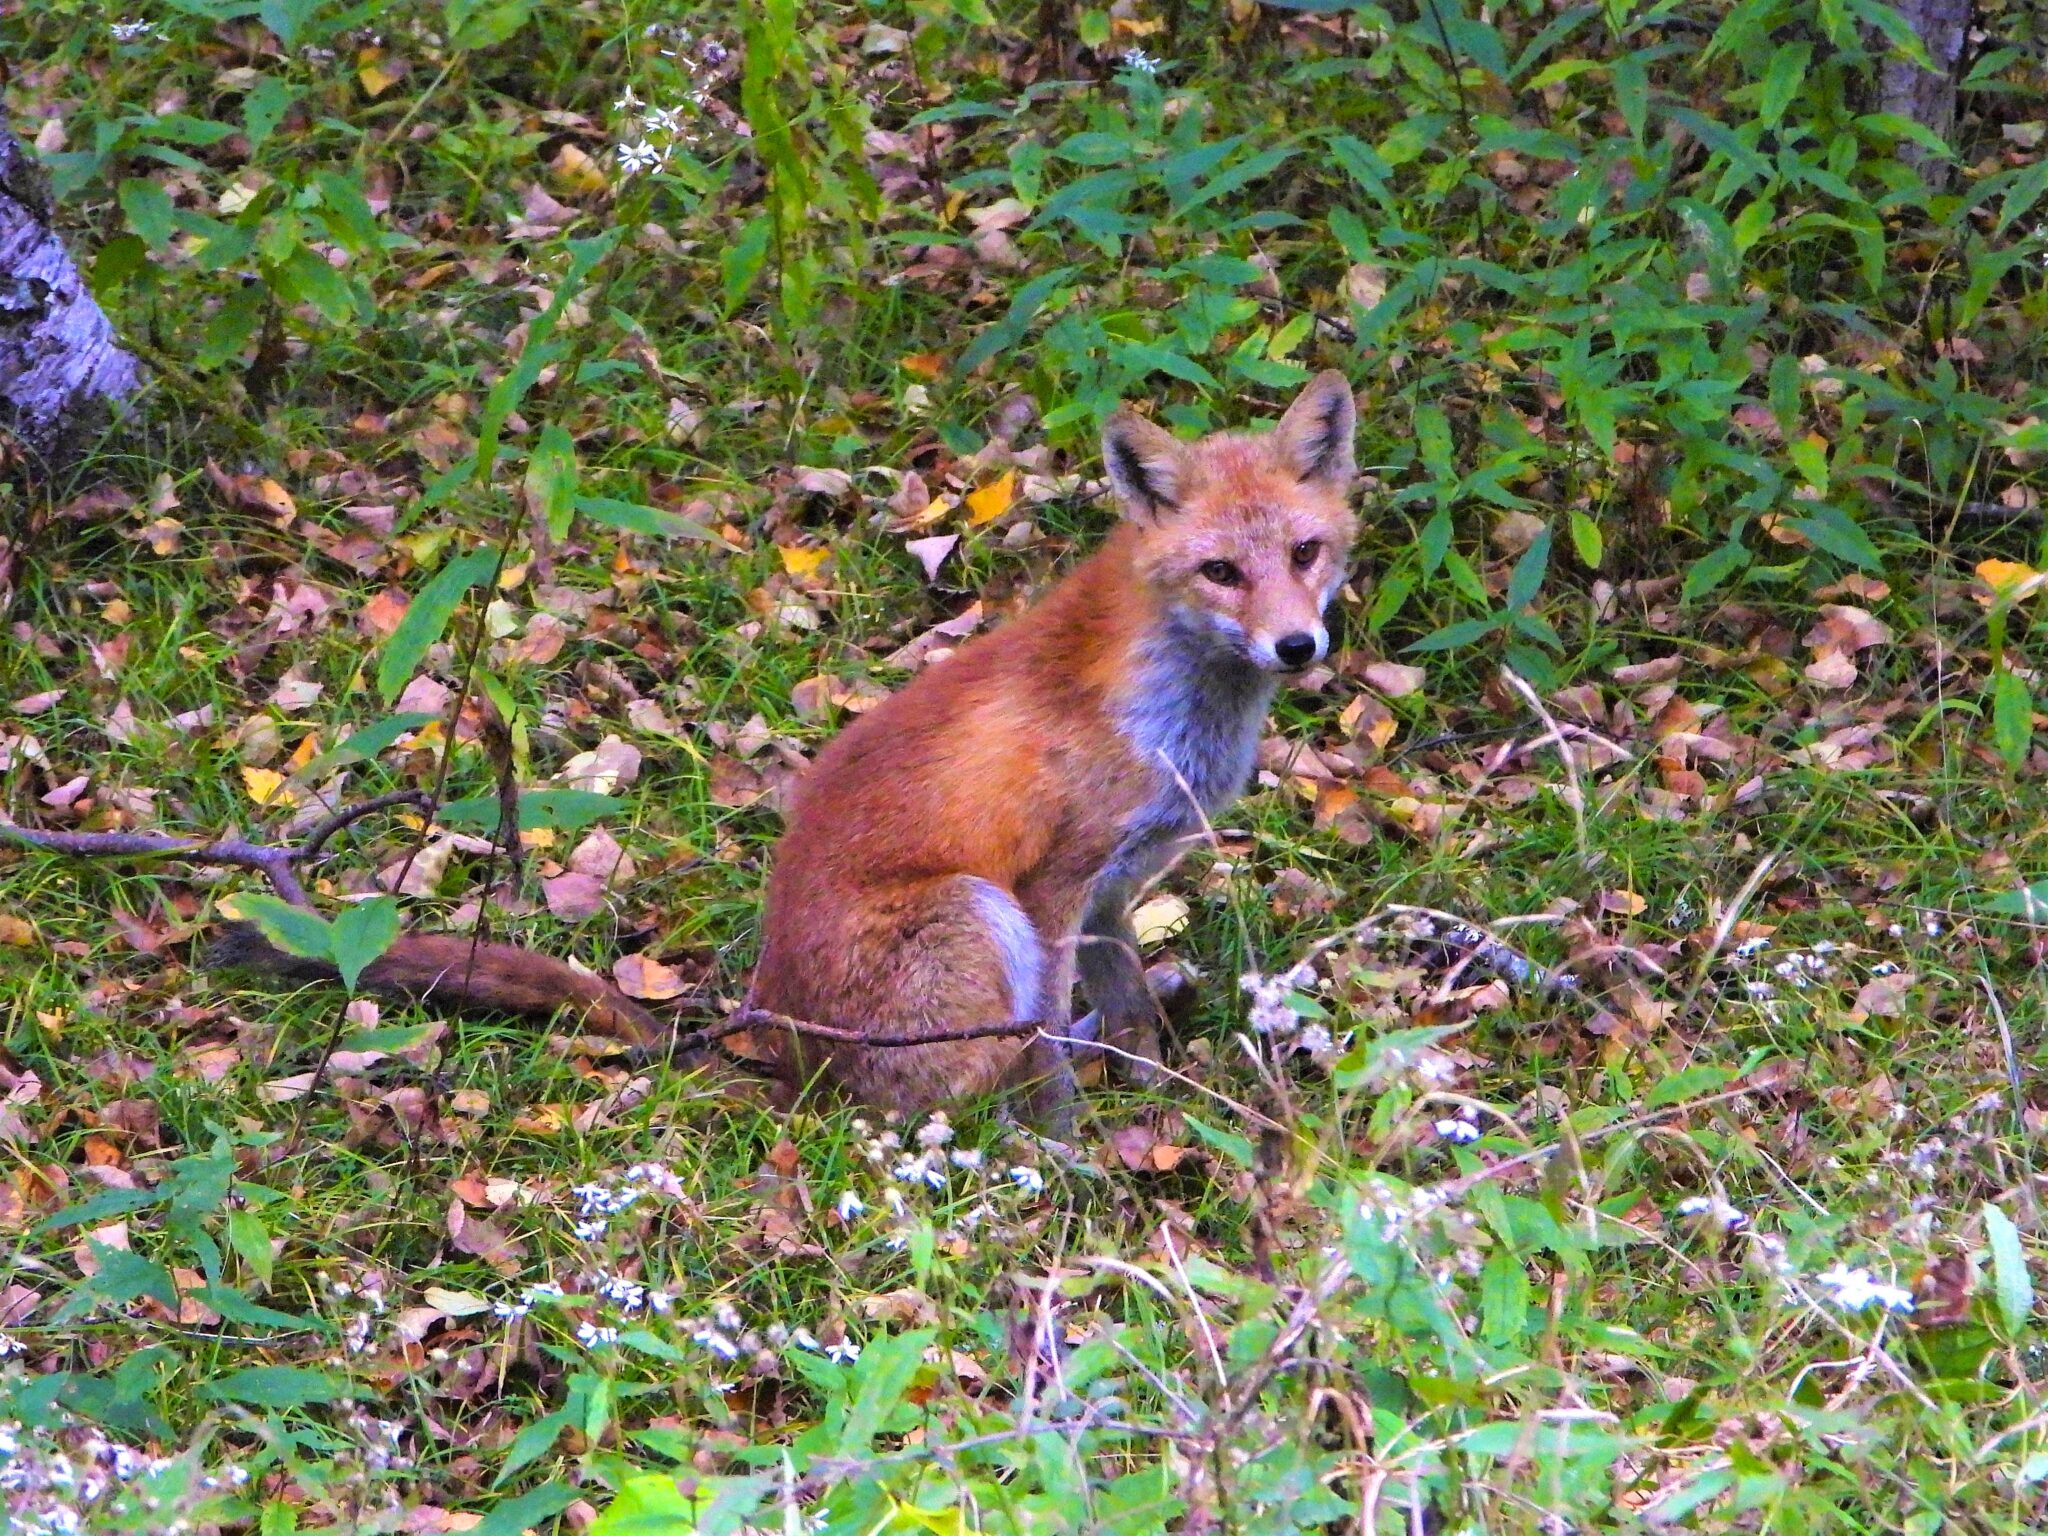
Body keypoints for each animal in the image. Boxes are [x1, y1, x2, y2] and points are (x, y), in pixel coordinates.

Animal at [211, 371, 1359, 1127]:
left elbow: (1132, 1023)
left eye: (1306, 553)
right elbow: (1049, 1058)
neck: (1172, 710)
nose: (1297, 646)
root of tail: (788, 1061)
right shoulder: (1048, 885)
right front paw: (1075, 1154)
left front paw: (1167, 1111)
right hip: (971, 914)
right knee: (954, 1087)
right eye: (1220, 572)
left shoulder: (1116, 888)